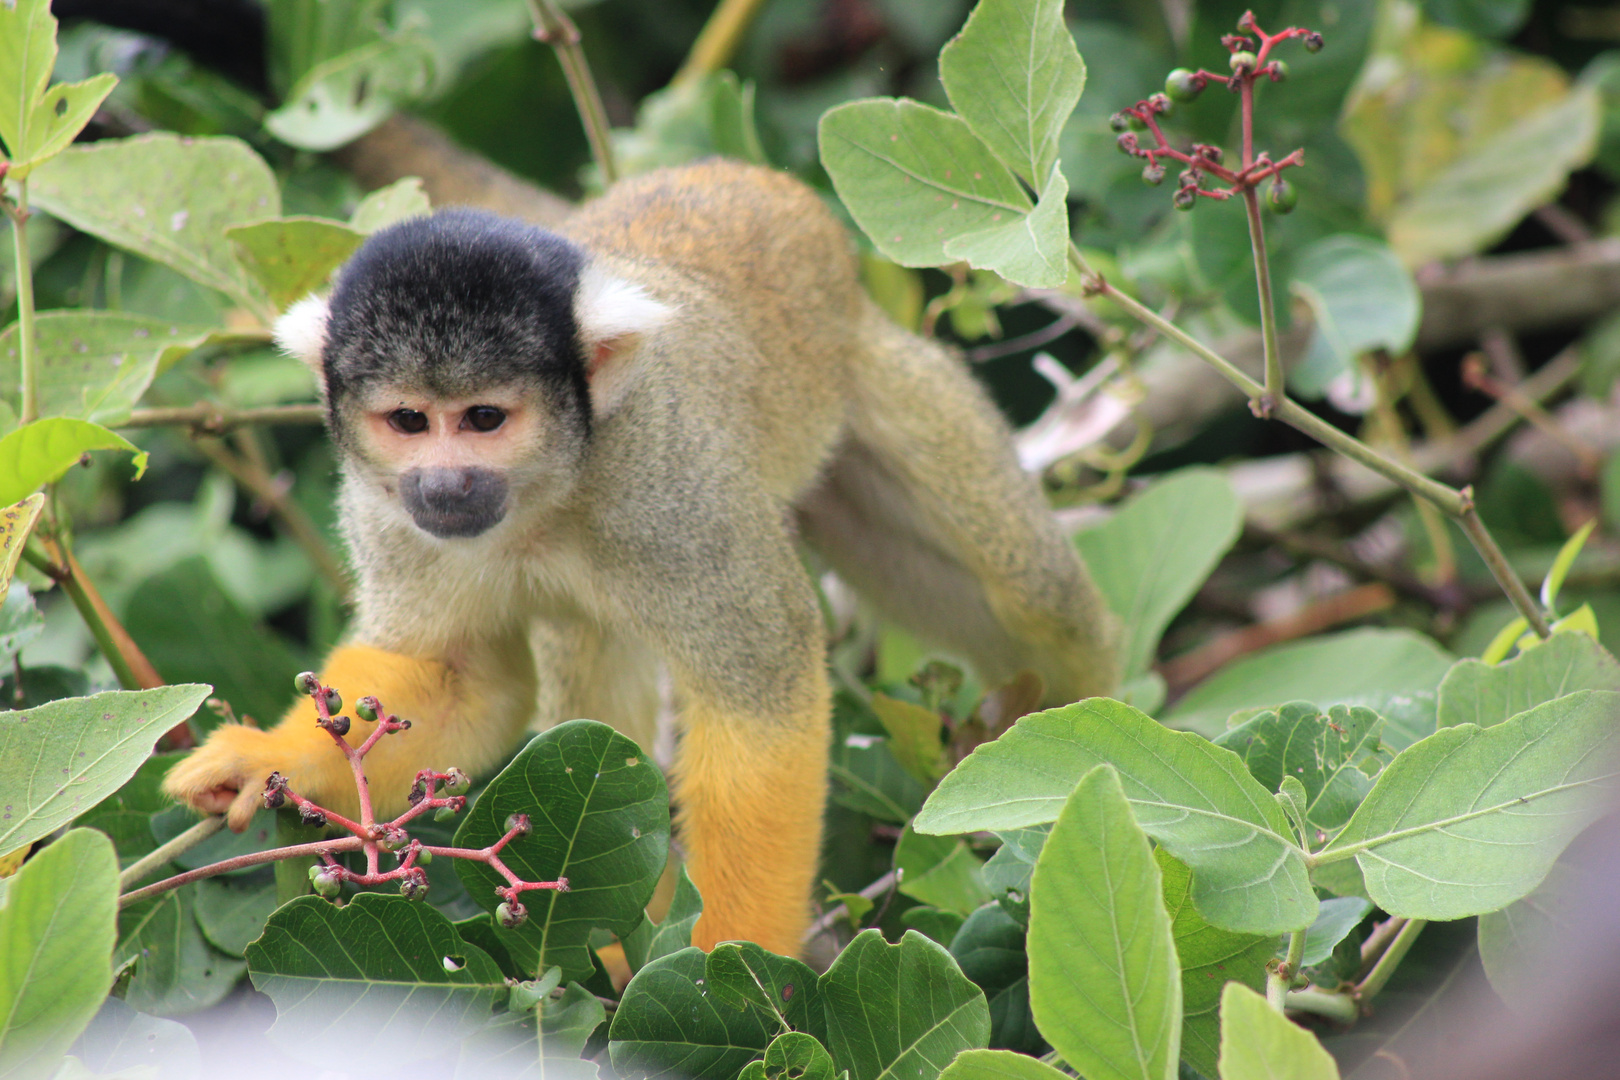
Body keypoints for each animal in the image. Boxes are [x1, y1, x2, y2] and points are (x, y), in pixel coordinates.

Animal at [167, 160, 1127, 952]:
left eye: (484, 419)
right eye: (409, 421)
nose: (443, 483)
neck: (550, 492)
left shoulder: (674, 486)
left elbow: (763, 696)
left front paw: (733, 963)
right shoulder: (387, 514)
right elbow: (467, 683)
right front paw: (275, 758)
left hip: (877, 368)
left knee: (1031, 593)